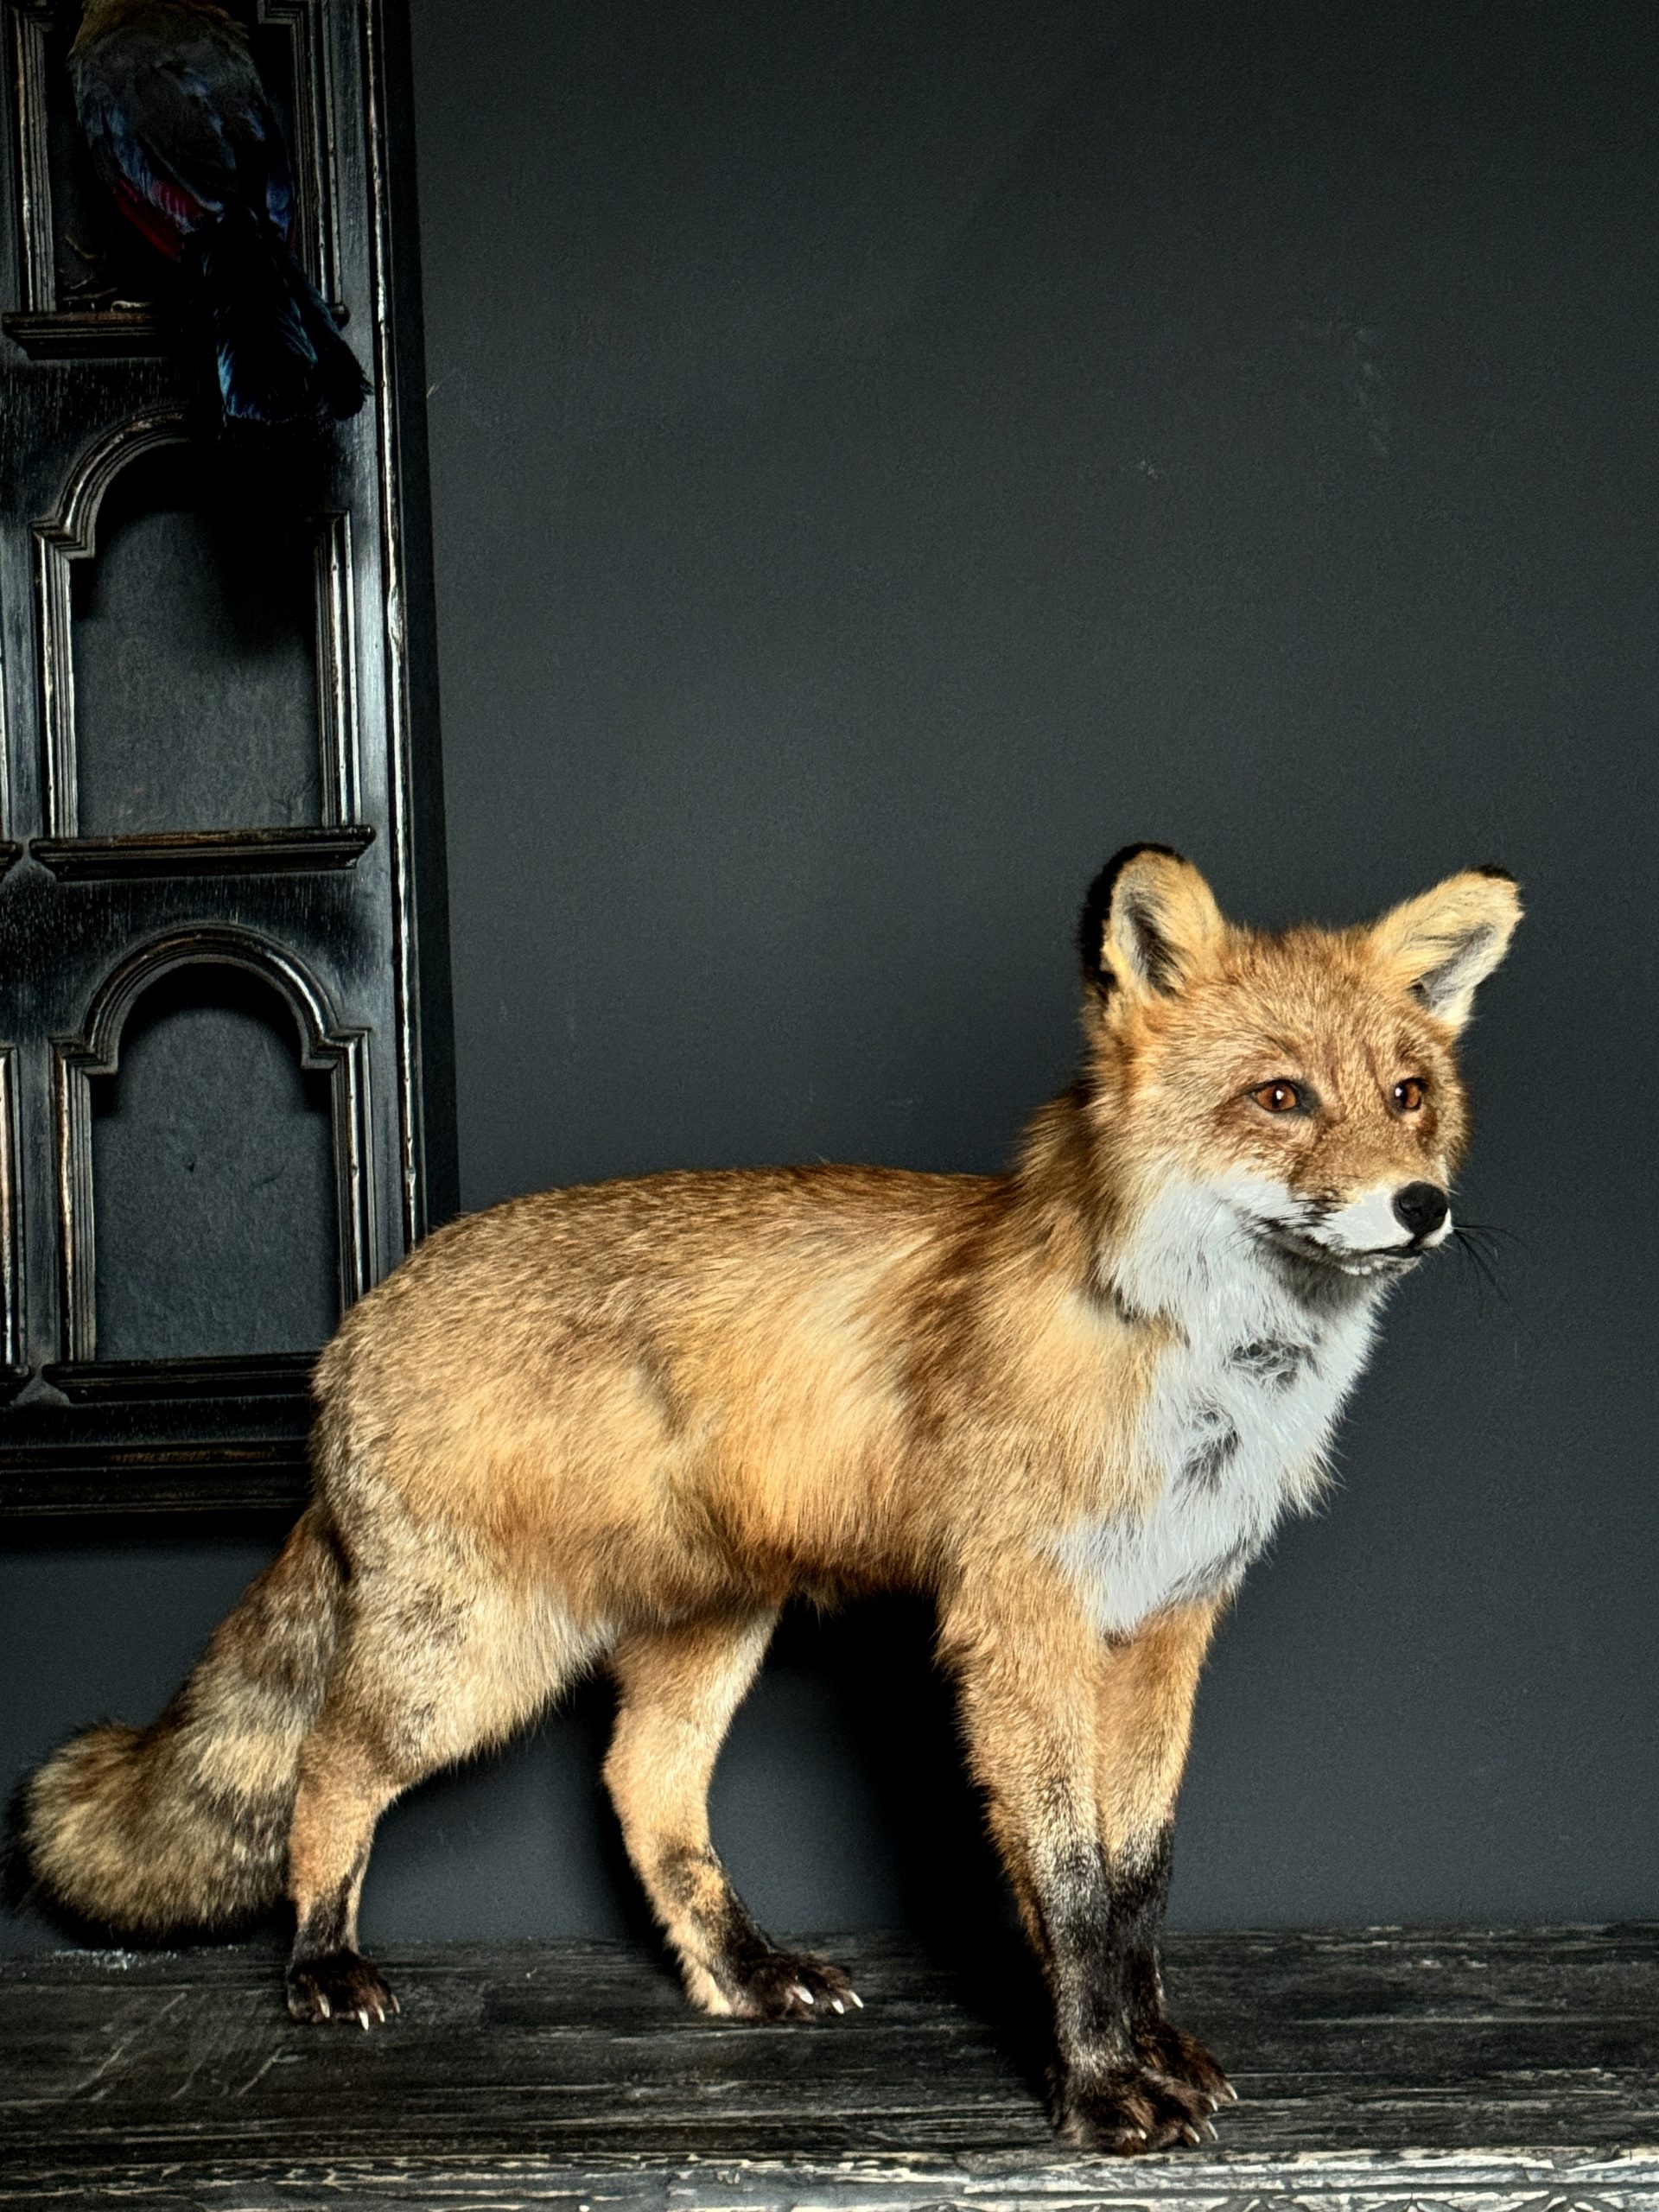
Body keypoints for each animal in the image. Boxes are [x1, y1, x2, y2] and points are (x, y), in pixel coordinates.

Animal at [15, 845, 1521, 2153]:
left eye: (1406, 1093)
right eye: (1280, 1099)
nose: (1422, 1205)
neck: (1196, 1372)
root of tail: (356, 1323)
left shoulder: (1164, 1627)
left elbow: (1140, 1880)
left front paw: (1151, 2052)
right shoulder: (1019, 1625)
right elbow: (1072, 1885)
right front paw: (1102, 2093)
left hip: (707, 1631)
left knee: (641, 1788)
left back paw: (741, 1971)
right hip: (475, 1652)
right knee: (330, 1761)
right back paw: (323, 1964)